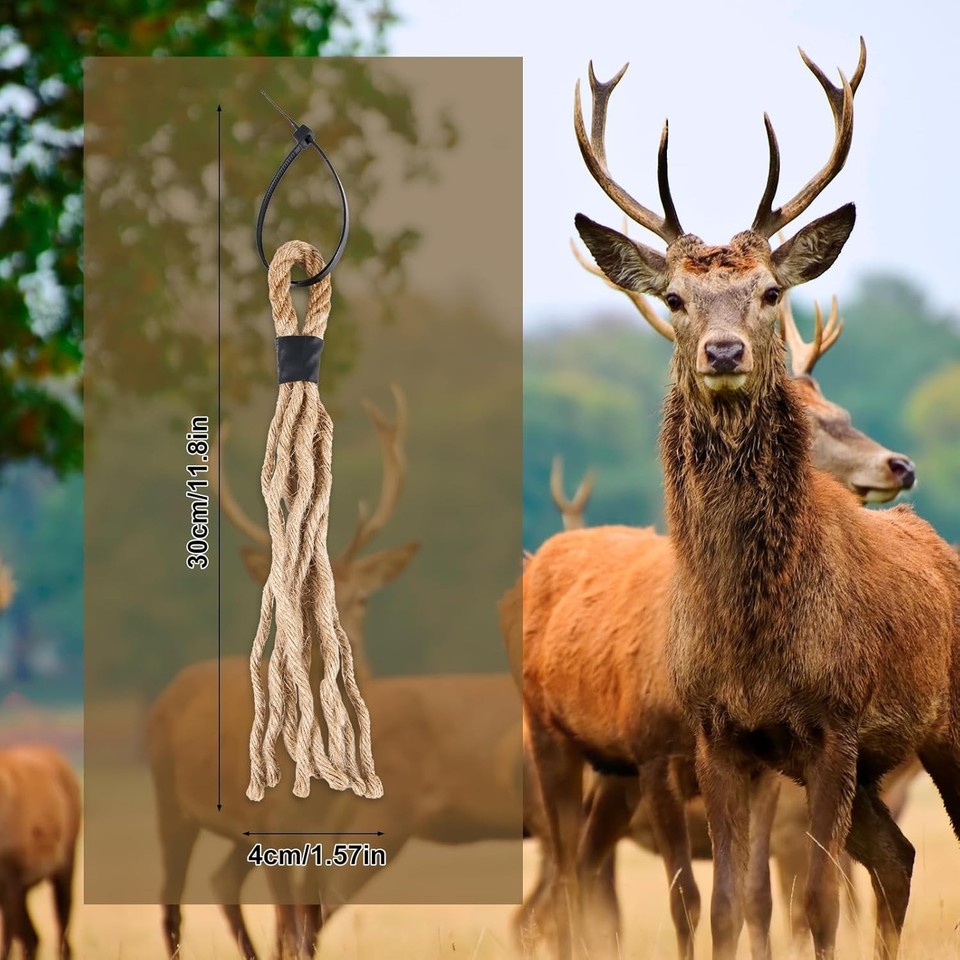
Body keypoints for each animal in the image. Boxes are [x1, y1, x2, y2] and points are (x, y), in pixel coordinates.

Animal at [572, 35, 960, 960]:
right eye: (676, 297)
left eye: (772, 293)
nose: (723, 351)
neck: (753, 629)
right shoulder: (723, 735)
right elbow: (730, 904)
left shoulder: (835, 722)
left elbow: (814, 902)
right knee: (898, 857)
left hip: (942, 727)